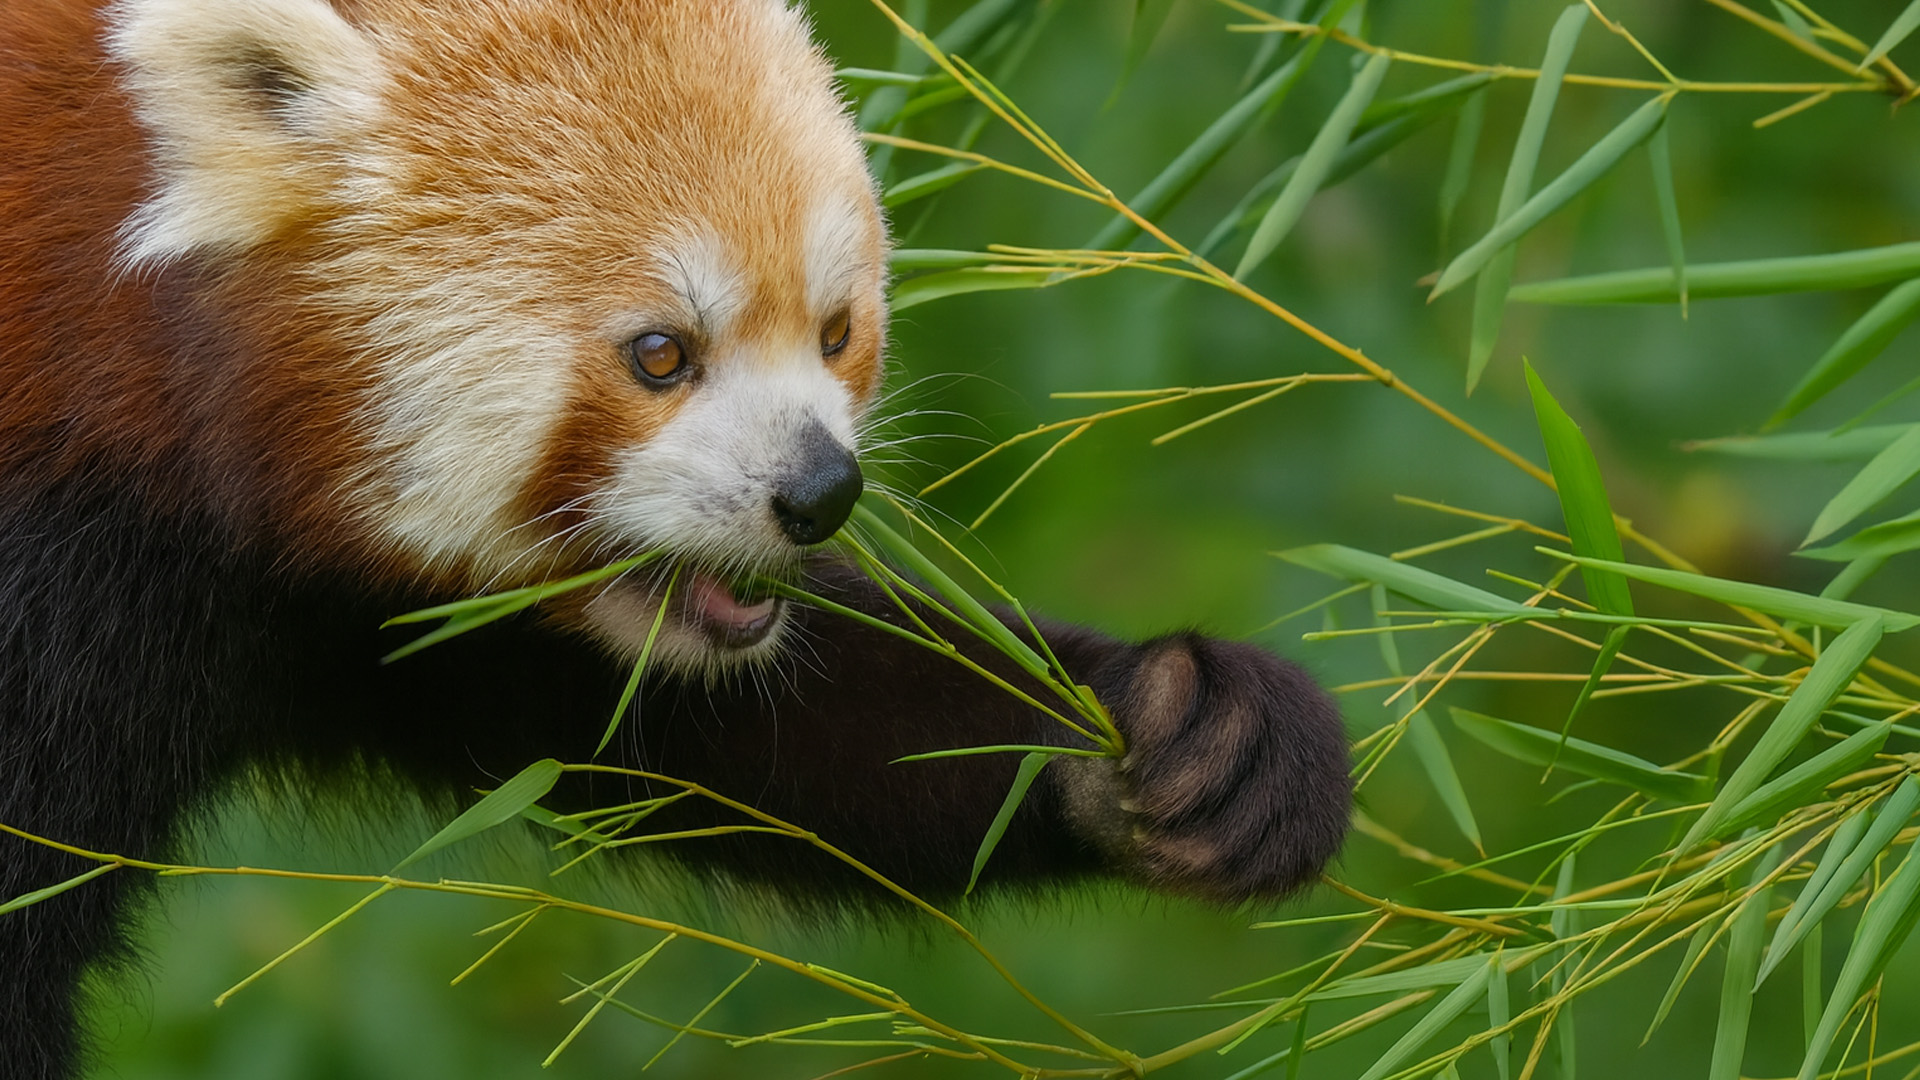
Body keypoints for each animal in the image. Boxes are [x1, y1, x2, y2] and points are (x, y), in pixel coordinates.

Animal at [0, 0, 1353, 1073]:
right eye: (661, 354)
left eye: (835, 330)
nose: (821, 493)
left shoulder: (375, 623)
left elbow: (763, 736)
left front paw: (1182, 727)